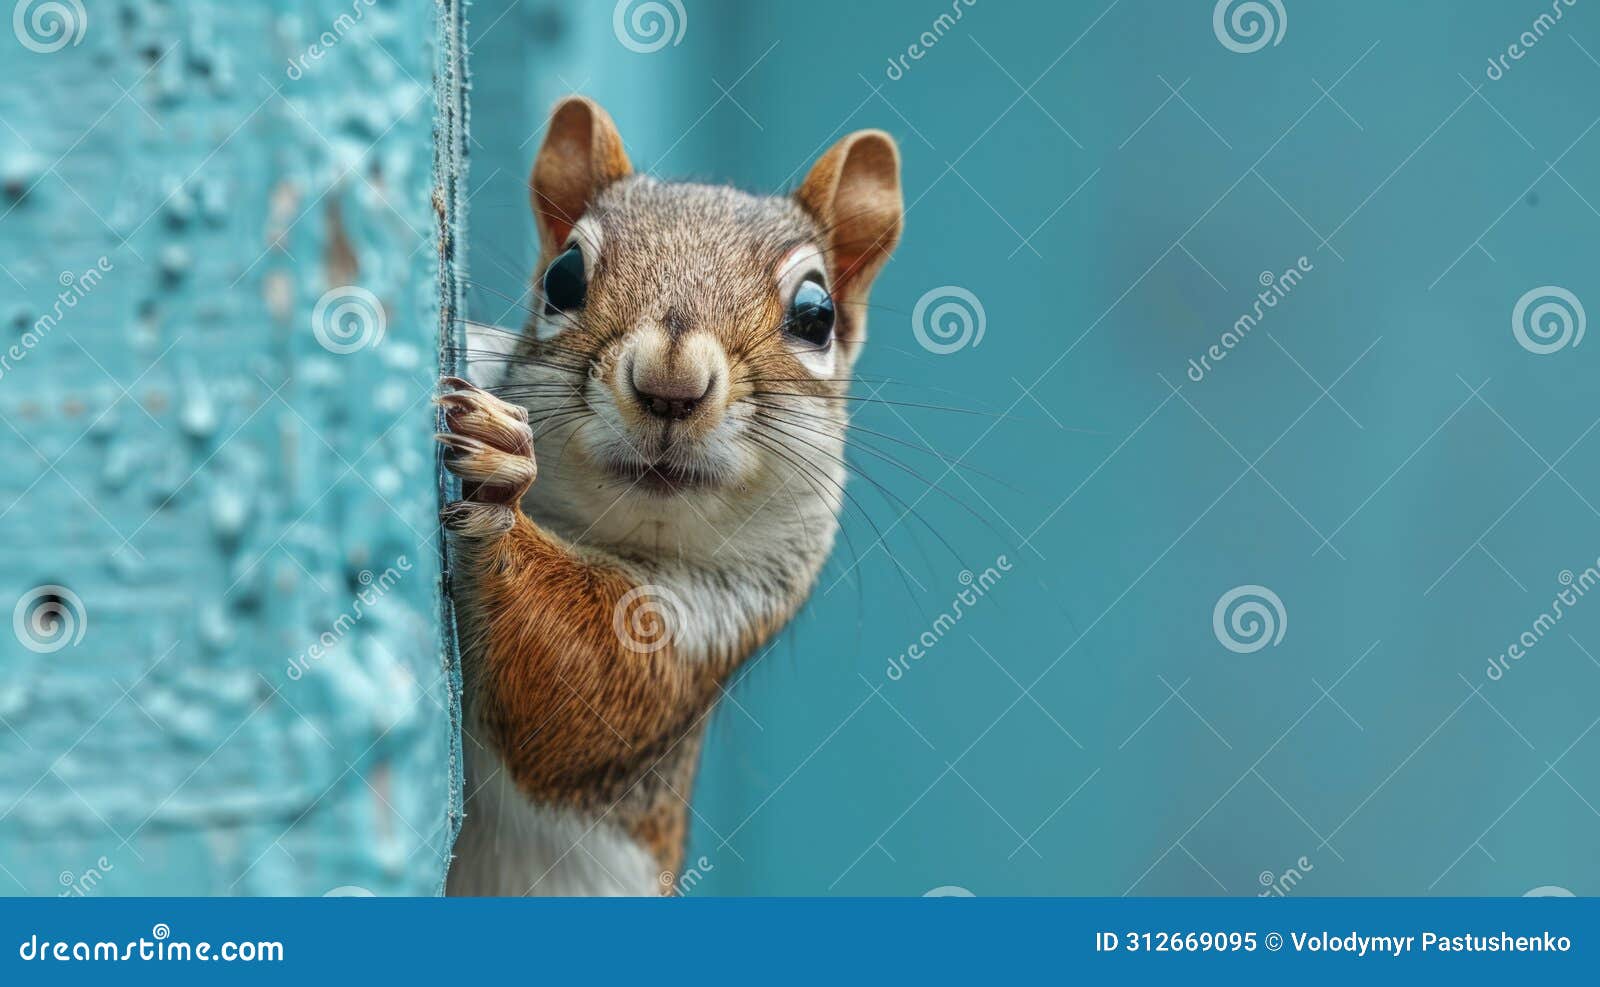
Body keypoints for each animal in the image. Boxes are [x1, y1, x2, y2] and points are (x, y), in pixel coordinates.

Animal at [441, 96, 903, 895]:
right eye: (563, 277)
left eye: (817, 315)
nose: (670, 385)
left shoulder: (694, 638)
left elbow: (572, 684)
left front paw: (500, 484)